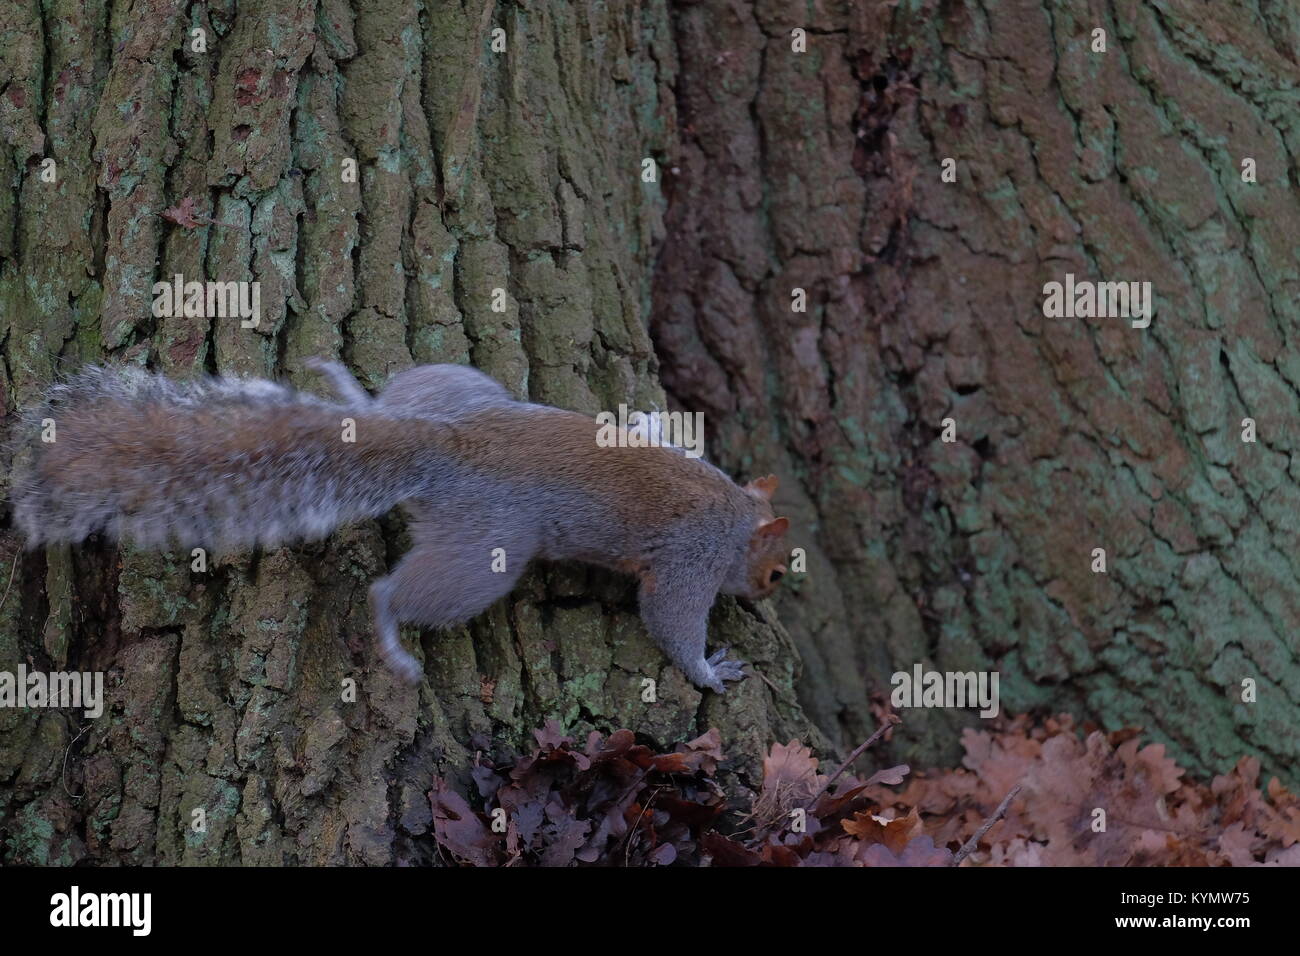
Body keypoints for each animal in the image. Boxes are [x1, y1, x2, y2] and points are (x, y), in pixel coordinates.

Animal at [9, 361, 790, 692]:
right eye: (779, 571)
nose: (764, 593)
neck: (733, 512)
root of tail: (441, 446)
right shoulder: (689, 559)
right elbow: (671, 621)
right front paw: (711, 671)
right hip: (484, 555)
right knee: (395, 593)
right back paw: (395, 645)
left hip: (455, 386)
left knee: (395, 399)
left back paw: (356, 392)